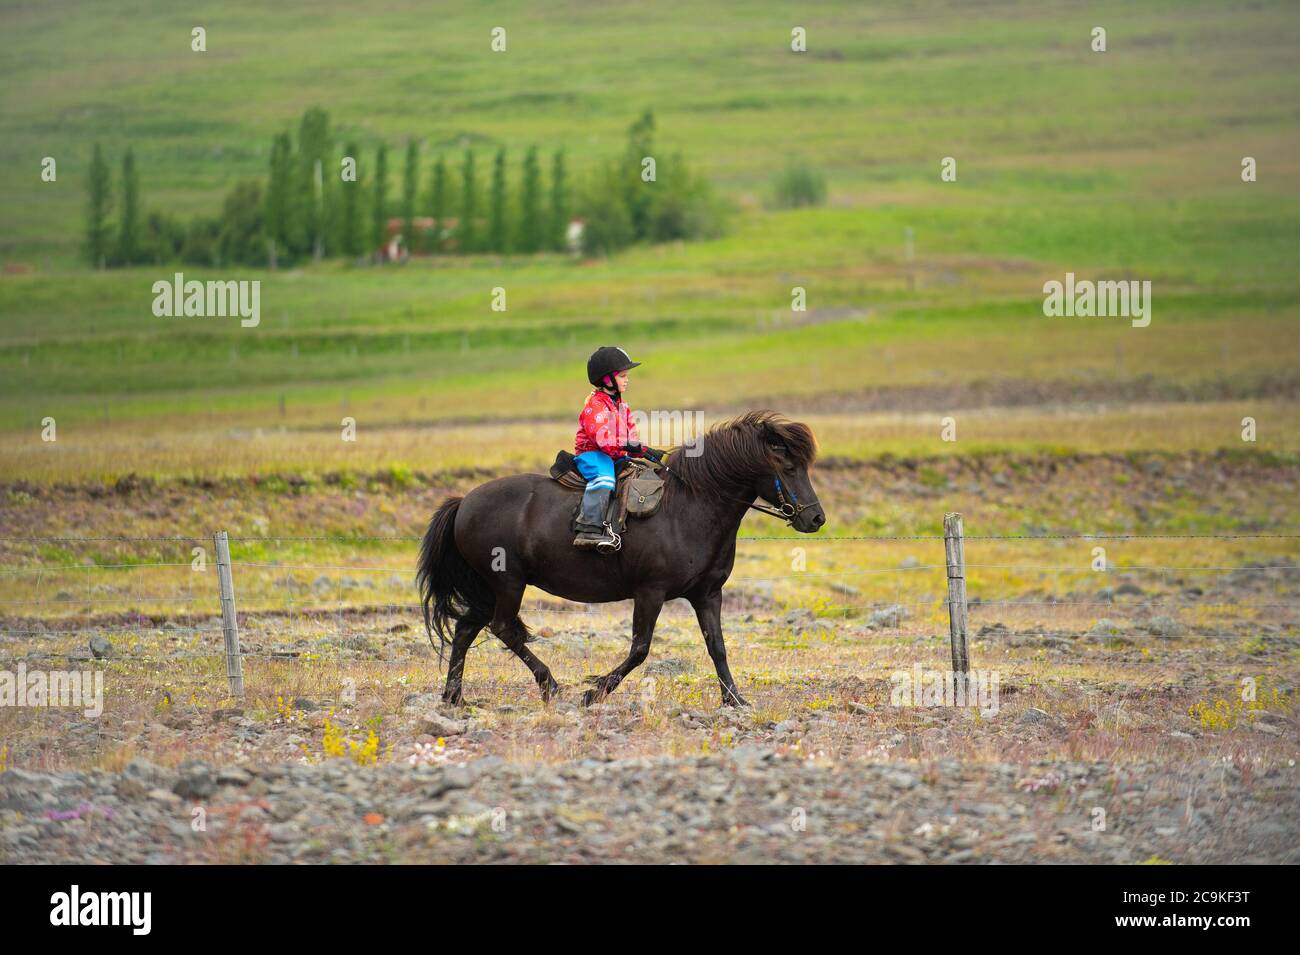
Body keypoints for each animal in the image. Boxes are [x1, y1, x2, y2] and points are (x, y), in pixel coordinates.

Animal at [417, 411, 826, 707]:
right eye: (788, 468)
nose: (816, 519)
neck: (690, 507)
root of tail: (464, 502)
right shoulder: (650, 593)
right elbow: (640, 650)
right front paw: (593, 692)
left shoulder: (708, 594)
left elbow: (718, 647)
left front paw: (735, 700)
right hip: (507, 583)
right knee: (502, 628)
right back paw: (550, 686)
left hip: (488, 588)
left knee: (465, 630)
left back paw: (454, 697)